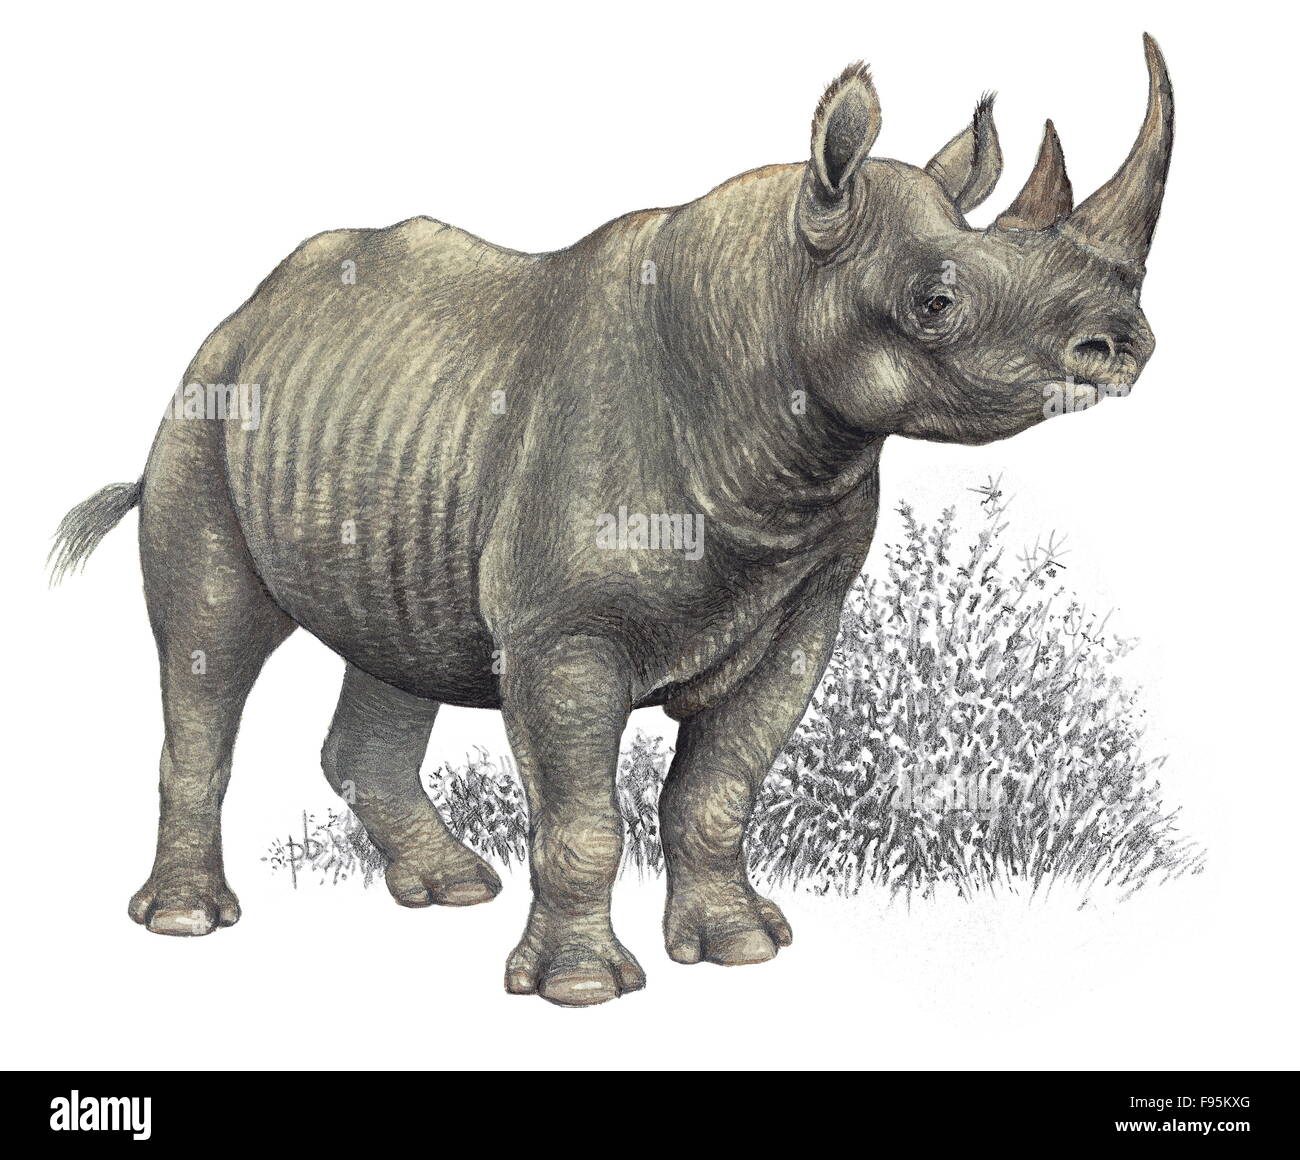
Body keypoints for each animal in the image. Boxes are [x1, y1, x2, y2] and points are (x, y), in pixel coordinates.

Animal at [51, 36, 1172, 1006]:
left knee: (394, 640)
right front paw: (582, 989)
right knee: (210, 642)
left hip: (380, 445)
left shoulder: (803, 602)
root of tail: (248, 313)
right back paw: (189, 922)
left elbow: (720, 784)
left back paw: (452, 889)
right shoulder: (565, 629)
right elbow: (584, 811)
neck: (768, 309)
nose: (1120, 344)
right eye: (935, 303)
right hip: (202, 410)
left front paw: (741, 946)